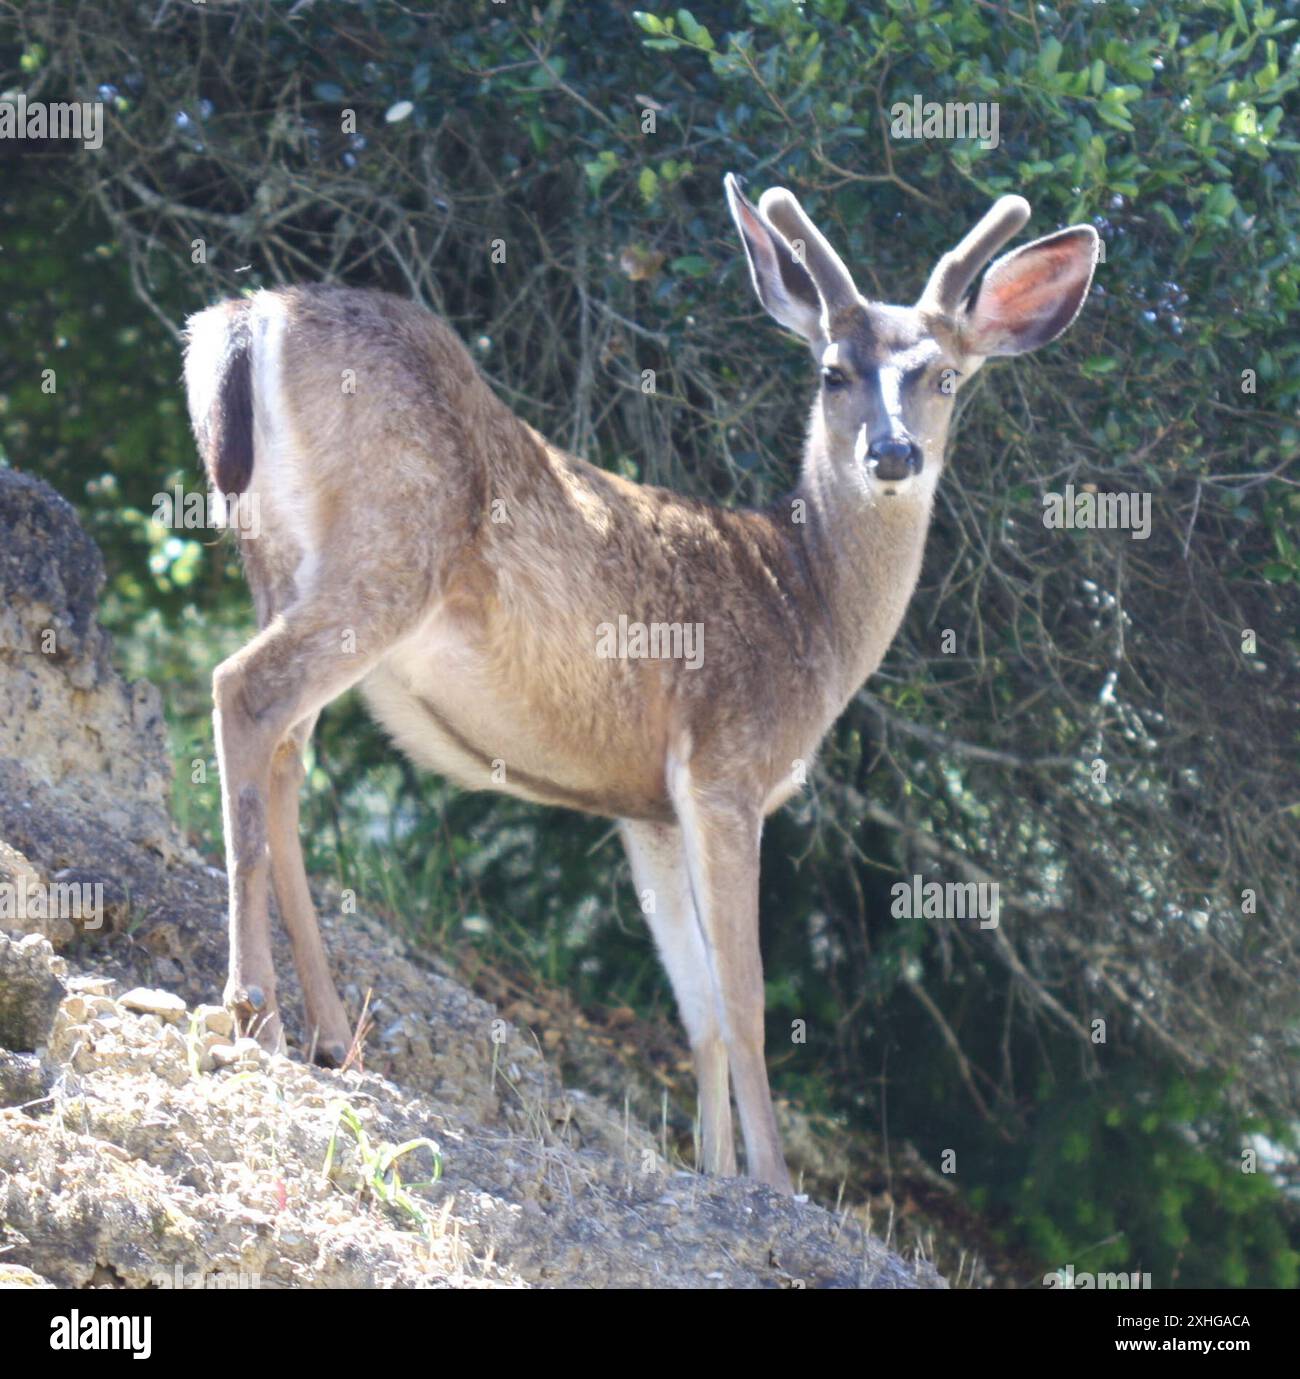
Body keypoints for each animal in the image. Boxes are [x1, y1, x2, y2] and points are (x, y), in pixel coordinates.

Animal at [183, 175, 1098, 1193]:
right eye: (832, 370)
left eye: (946, 377)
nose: (893, 455)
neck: (810, 610)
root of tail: (249, 315)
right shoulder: (728, 765)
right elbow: (745, 999)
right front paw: (774, 1184)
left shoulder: (645, 807)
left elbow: (697, 1010)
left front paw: (715, 1168)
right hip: (388, 551)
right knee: (242, 688)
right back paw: (253, 1007)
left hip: (279, 563)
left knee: (285, 750)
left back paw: (333, 1033)